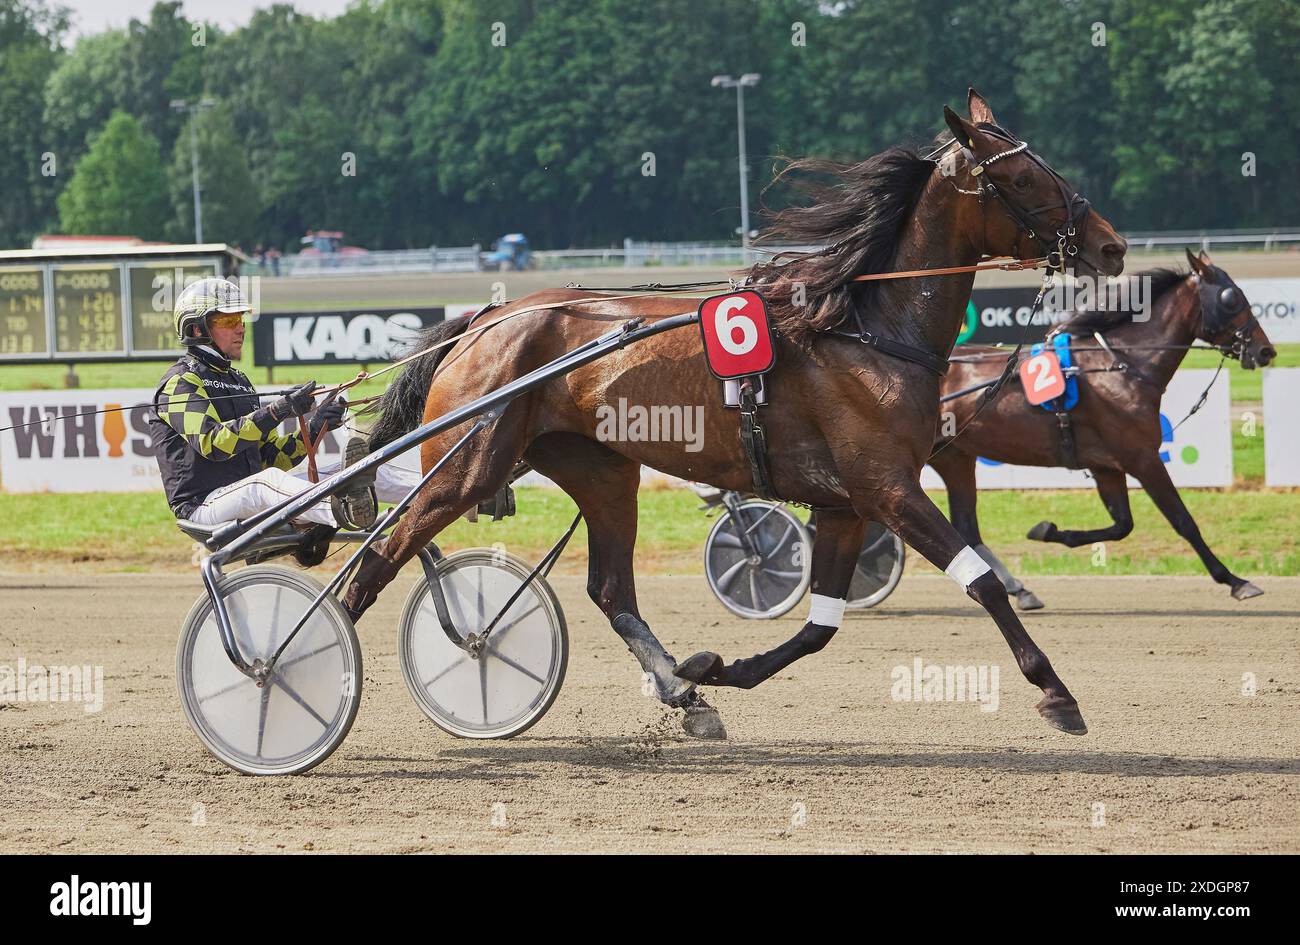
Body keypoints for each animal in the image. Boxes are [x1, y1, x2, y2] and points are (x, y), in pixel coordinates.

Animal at [342, 90, 1127, 739]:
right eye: (1023, 179)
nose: (1112, 245)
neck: (866, 327)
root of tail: (488, 317)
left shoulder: (847, 502)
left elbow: (820, 626)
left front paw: (714, 670)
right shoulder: (888, 487)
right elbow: (981, 579)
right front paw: (1056, 692)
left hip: (601, 471)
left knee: (610, 588)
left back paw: (684, 695)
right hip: (468, 463)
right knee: (381, 554)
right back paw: (323, 658)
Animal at [930, 249, 1276, 610]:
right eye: (1231, 299)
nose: (1265, 350)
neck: (1117, 367)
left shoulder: (1107, 467)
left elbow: (1122, 525)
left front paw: (1049, 531)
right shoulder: (1143, 459)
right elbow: (1183, 521)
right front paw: (1236, 581)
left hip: (954, 458)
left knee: (967, 529)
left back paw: (1019, 589)